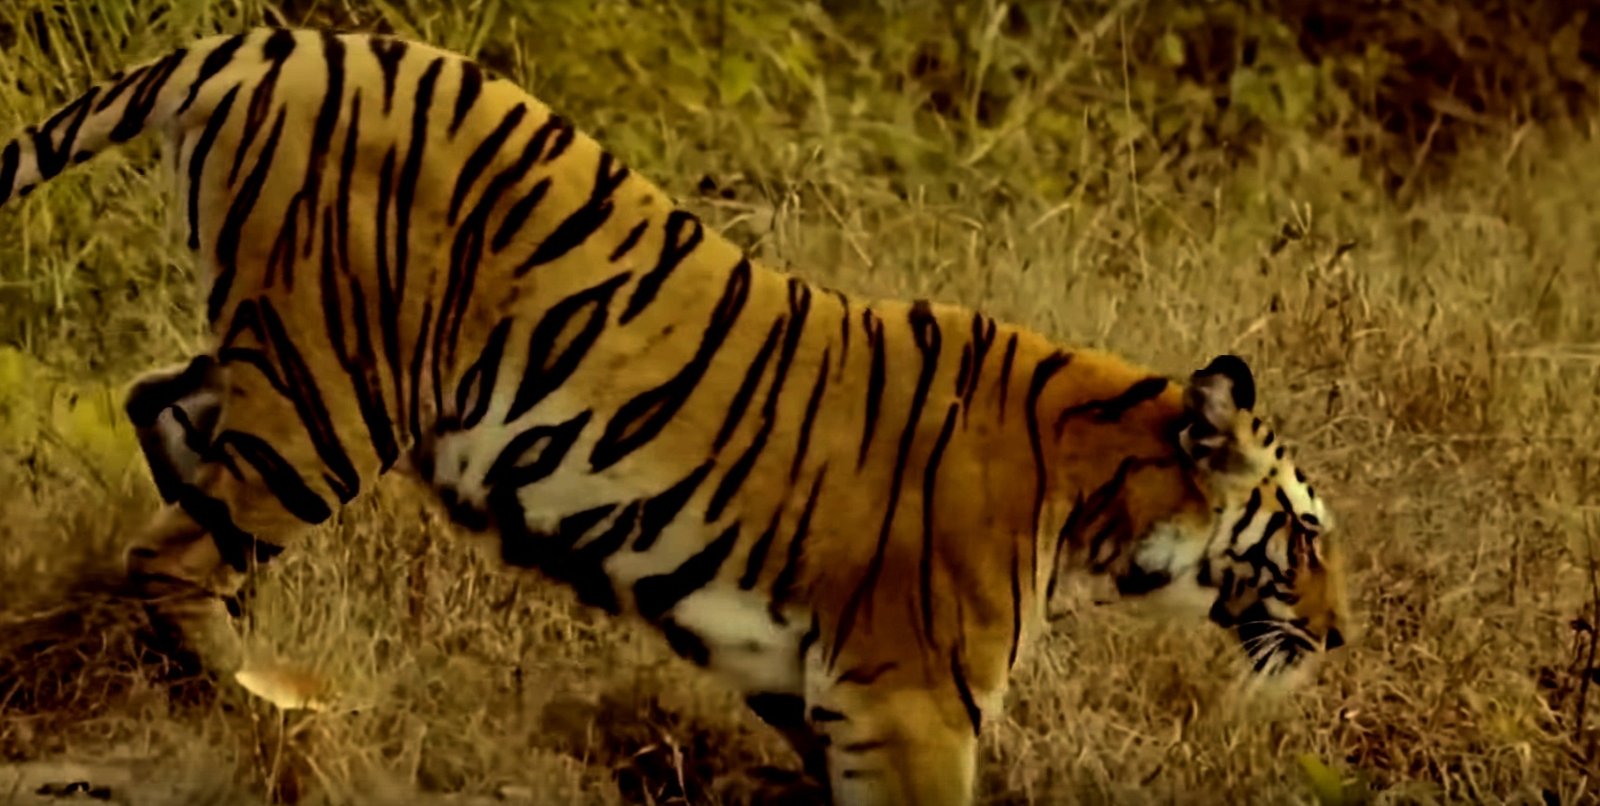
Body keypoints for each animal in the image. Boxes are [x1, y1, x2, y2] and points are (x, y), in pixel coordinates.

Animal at [0, 27, 1350, 806]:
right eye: (1304, 535)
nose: (1338, 638)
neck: (1096, 502)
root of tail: (268, 39)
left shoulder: (819, 686)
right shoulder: (911, 700)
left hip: (280, 363)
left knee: (161, 419)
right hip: (332, 391)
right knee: (174, 548)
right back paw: (268, 696)